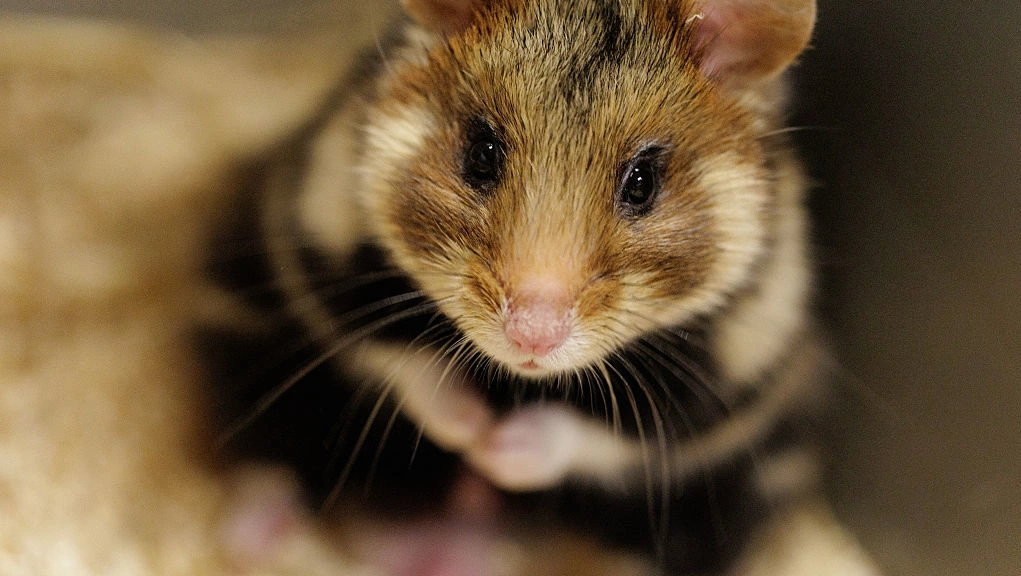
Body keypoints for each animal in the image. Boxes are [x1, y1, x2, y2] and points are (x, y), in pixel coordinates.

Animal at [198, 0, 841, 573]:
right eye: (481, 152)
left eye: (643, 182)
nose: (530, 339)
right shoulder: (322, 254)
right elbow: (407, 364)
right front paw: (471, 433)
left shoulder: (726, 382)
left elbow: (598, 432)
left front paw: (494, 452)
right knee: (272, 465)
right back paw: (255, 543)